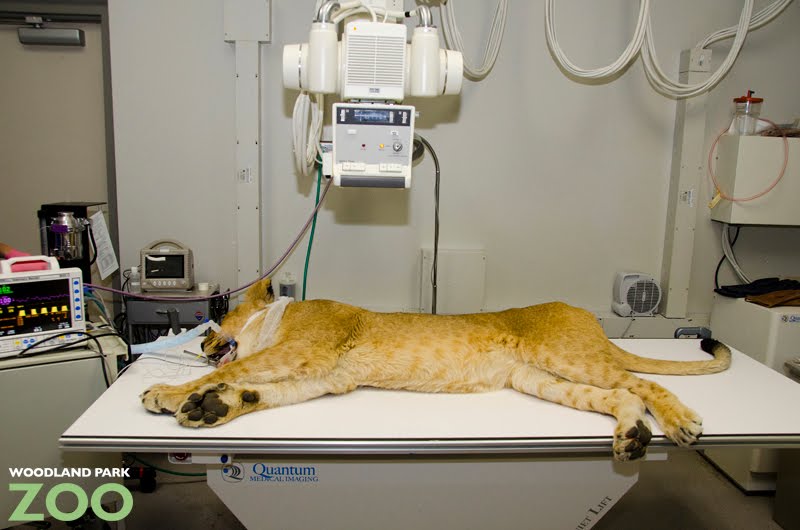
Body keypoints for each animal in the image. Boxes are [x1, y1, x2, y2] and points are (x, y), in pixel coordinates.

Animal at [141, 278, 730, 461]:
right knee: (622, 397)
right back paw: (631, 437)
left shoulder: (305, 352)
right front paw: (213, 406)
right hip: (540, 379)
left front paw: (166, 393)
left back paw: (681, 423)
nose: (201, 340)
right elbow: (259, 392)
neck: (278, 318)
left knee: (643, 382)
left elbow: (235, 370)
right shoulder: (326, 376)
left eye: (216, 317)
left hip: (567, 357)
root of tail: (591, 319)